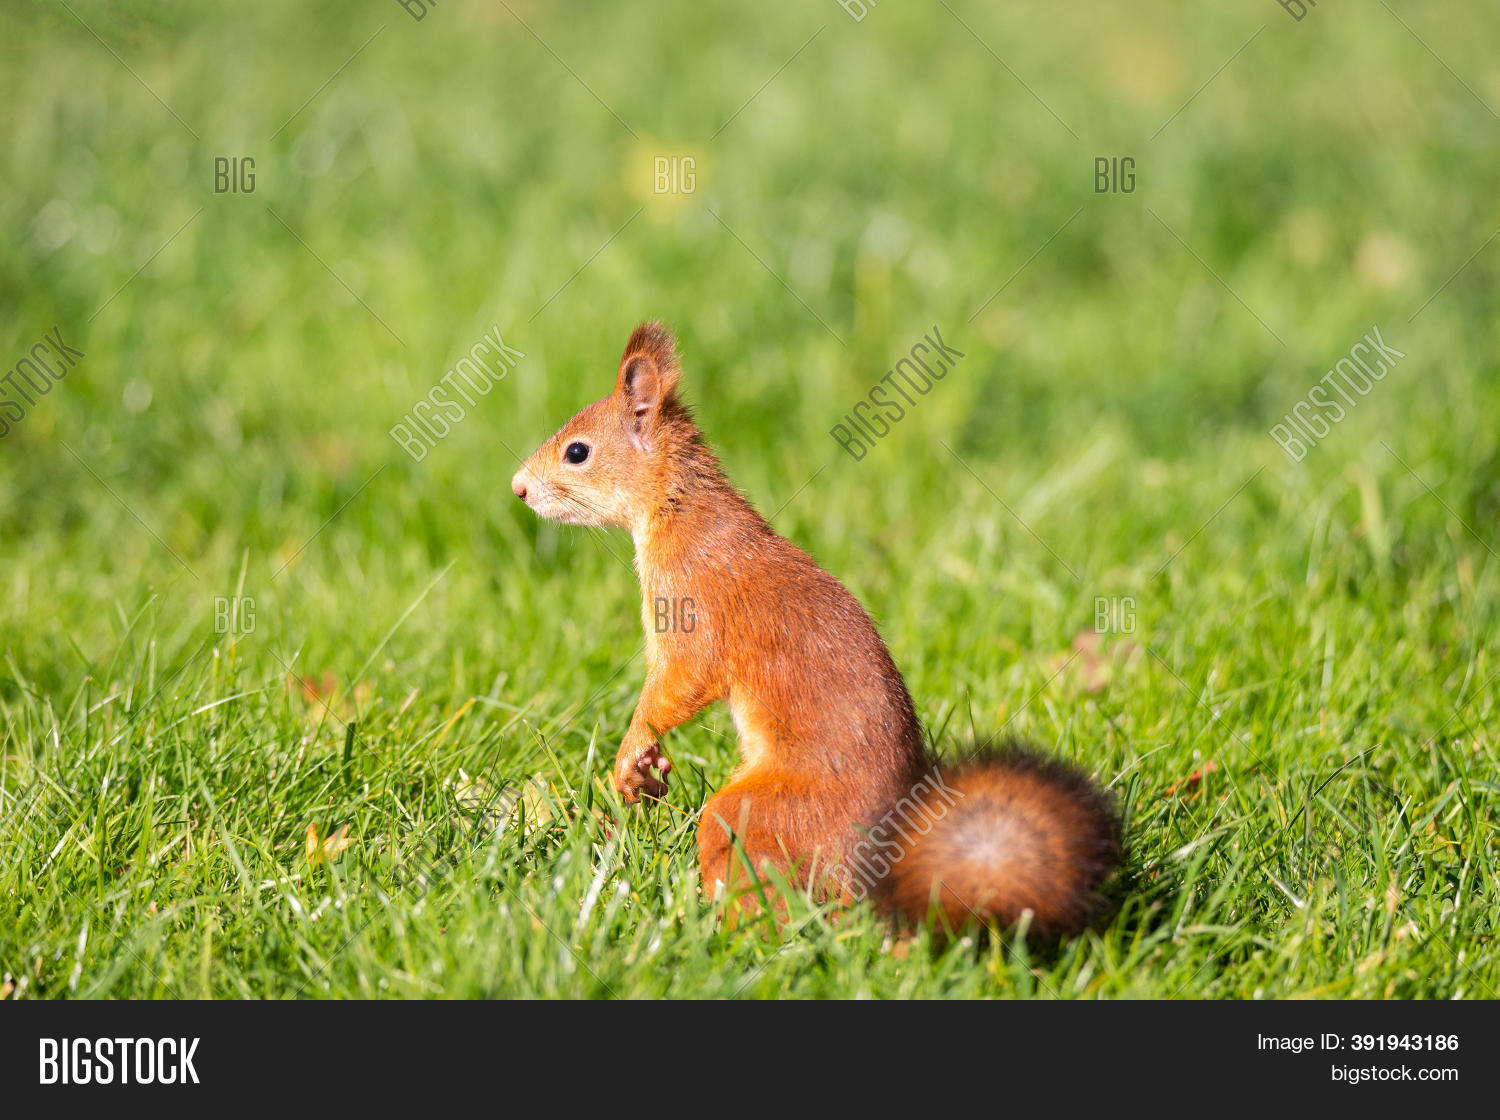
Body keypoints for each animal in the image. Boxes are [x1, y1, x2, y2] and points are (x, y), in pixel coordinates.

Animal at [511, 322, 1122, 937]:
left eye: (577, 452)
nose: (518, 488)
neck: (677, 511)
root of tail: (867, 865)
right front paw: (649, 770)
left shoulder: (690, 614)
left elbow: (678, 686)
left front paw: (629, 751)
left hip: (770, 813)